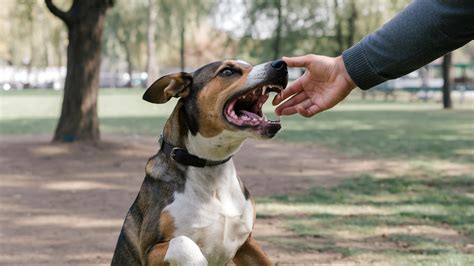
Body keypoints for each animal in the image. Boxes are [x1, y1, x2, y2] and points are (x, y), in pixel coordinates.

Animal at [112, 59, 288, 264]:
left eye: (249, 65)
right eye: (227, 71)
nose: (281, 64)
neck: (210, 167)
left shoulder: (247, 243)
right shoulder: (150, 251)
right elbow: (185, 243)